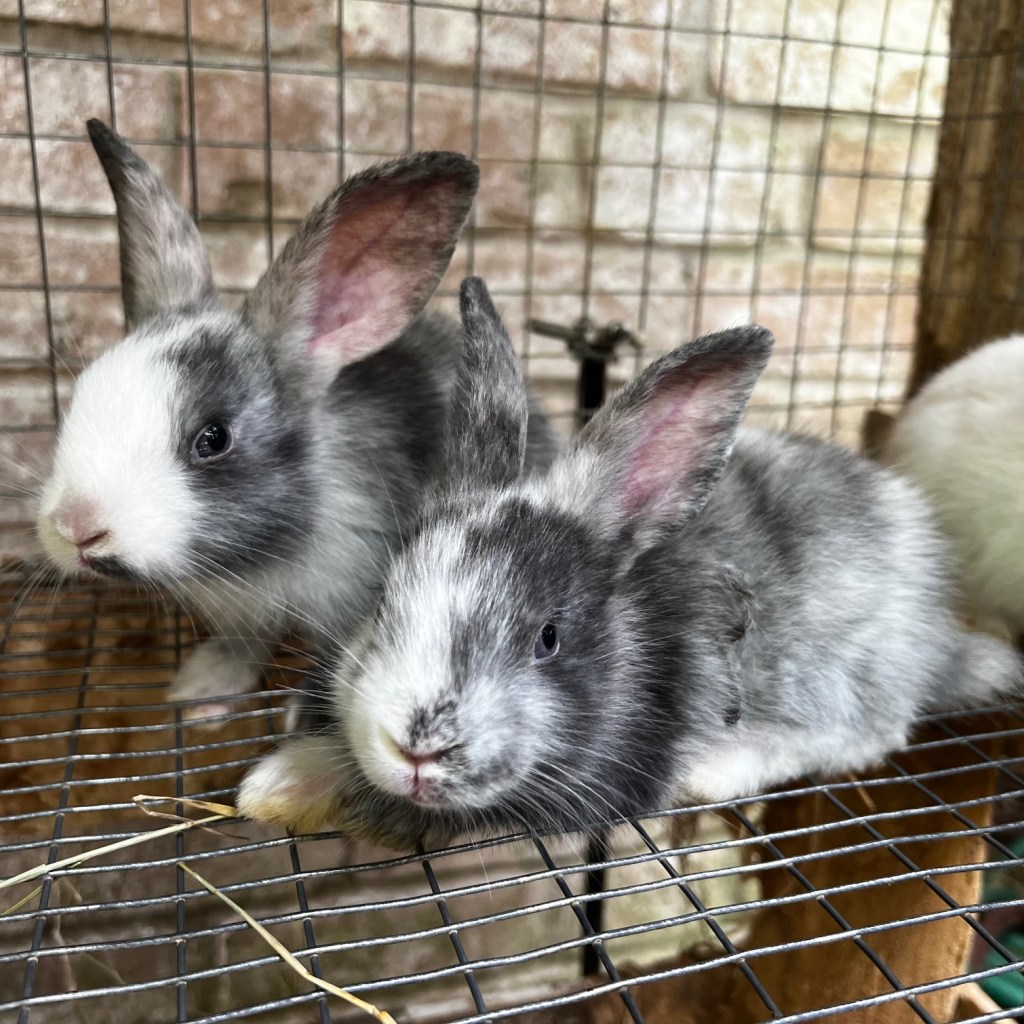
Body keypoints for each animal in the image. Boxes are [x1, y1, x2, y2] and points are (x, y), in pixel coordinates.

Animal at [36, 120, 558, 719]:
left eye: (213, 438)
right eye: (79, 393)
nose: (76, 528)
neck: (256, 558)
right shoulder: (242, 616)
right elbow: (243, 646)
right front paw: (200, 691)